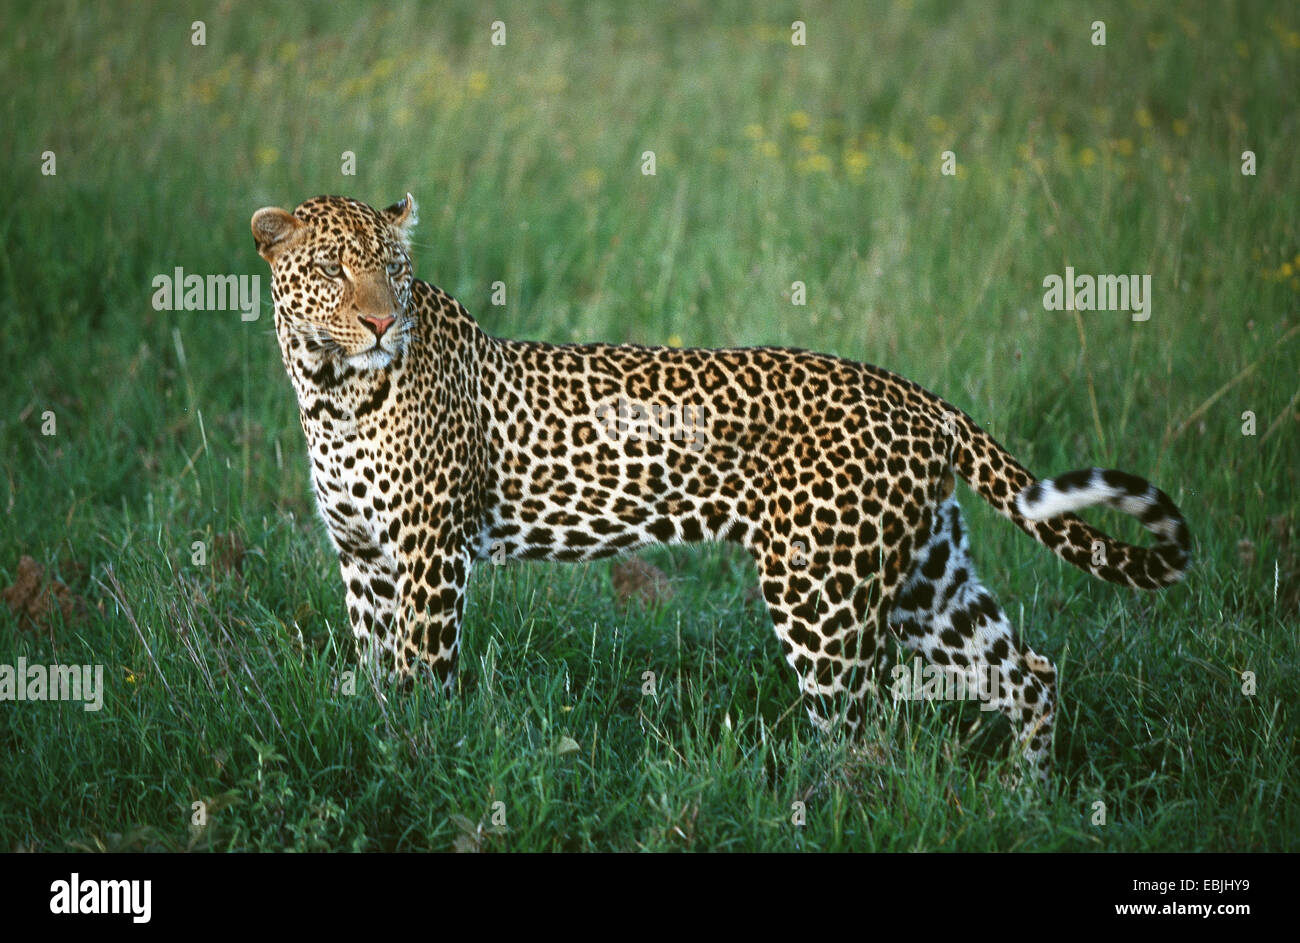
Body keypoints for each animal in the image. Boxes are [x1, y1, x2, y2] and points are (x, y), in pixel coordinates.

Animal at [250, 193, 1190, 782]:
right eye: (331, 270)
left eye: (395, 270)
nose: (380, 321)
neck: (329, 389)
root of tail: (916, 394)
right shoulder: (364, 557)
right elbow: (378, 671)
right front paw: (385, 745)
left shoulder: (431, 554)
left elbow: (426, 672)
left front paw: (425, 757)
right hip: (927, 579)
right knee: (1029, 672)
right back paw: (1023, 801)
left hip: (821, 592)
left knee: (861, 732)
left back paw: (817, 808)